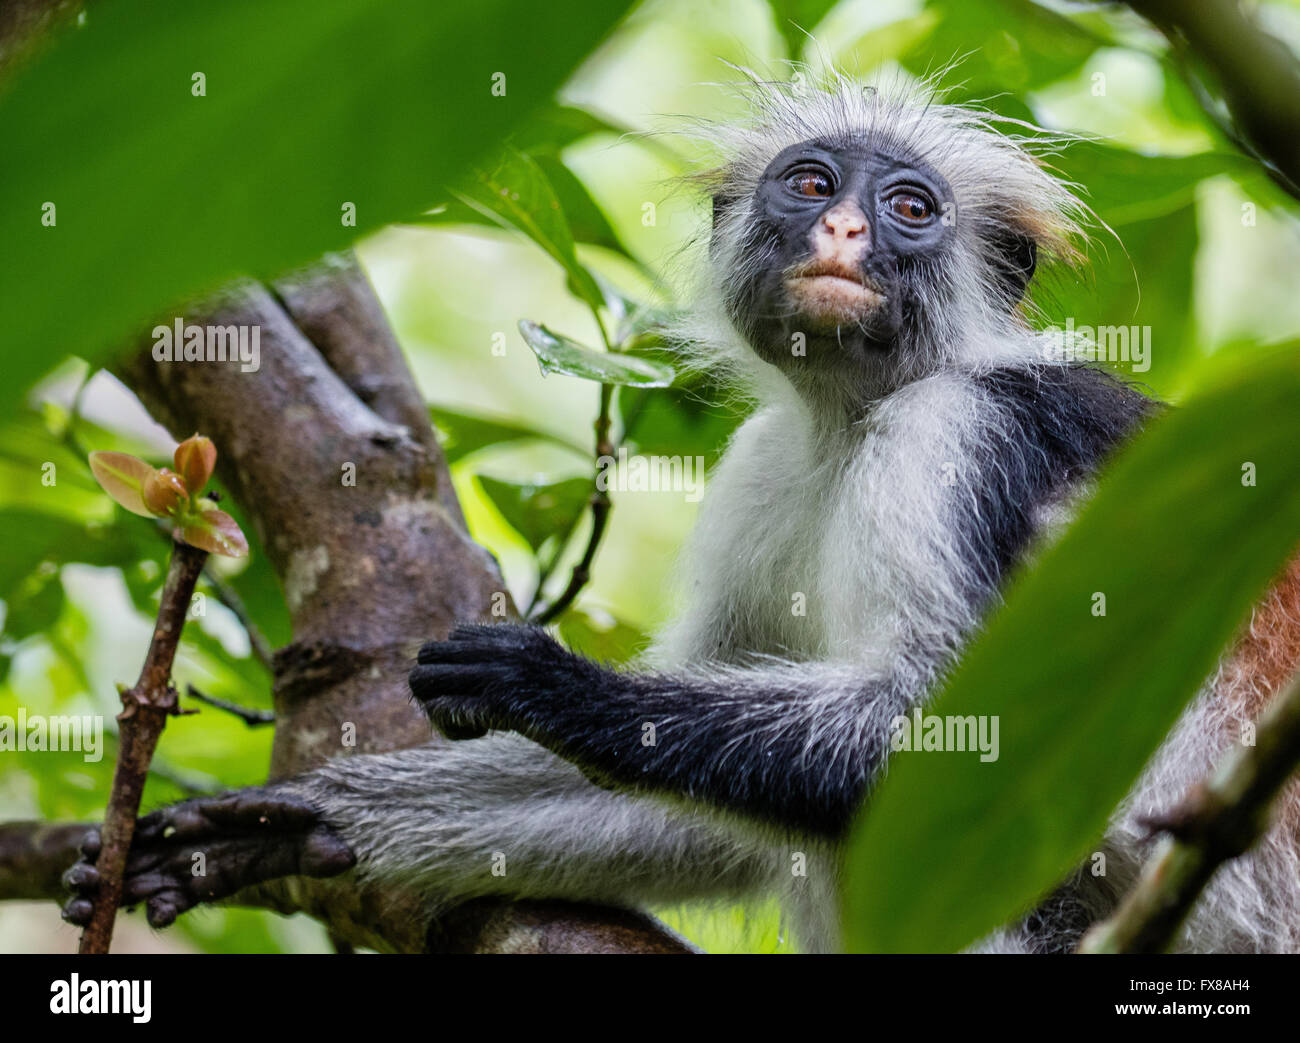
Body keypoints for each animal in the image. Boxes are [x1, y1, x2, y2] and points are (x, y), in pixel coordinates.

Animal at [61, 73, 1300, 953]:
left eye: (908, 206)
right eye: (813, 184)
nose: (846, 233)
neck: (856, 417)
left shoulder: (961, 438)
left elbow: (961, 743)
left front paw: (553, 685)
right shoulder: (767, 466)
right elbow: (706, 816)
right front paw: (295, 829)